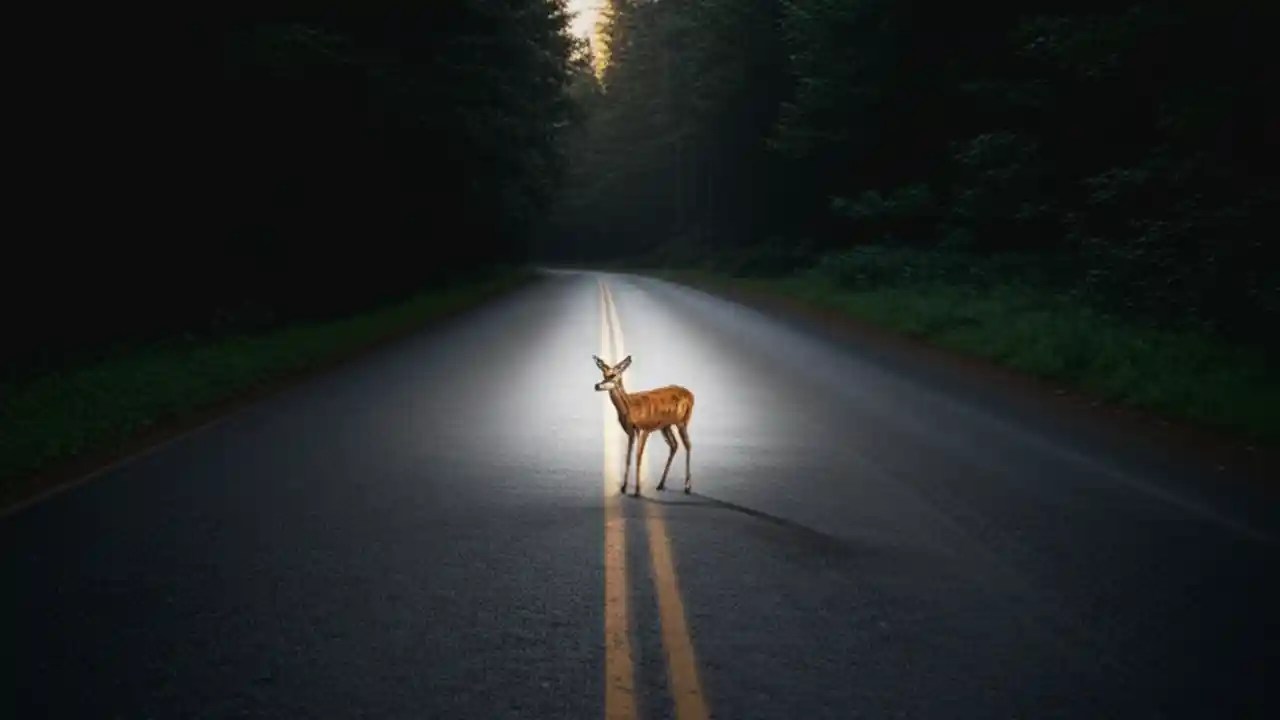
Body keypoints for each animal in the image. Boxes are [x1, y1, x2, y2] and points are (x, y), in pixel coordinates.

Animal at [593, 354, 695, 497]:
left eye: (613, 375)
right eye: (603, 373)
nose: (597, 385)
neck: (630, 407)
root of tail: (691, 395)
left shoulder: (644, 429)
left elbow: (638, 456)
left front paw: (637, 491)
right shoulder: (630, 432)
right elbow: (628, 457)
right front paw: (623, 488)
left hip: (682, 421)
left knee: (688, 445)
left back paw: (687, 487)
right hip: (666, 426)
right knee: (674, 445)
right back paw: (660, 485)